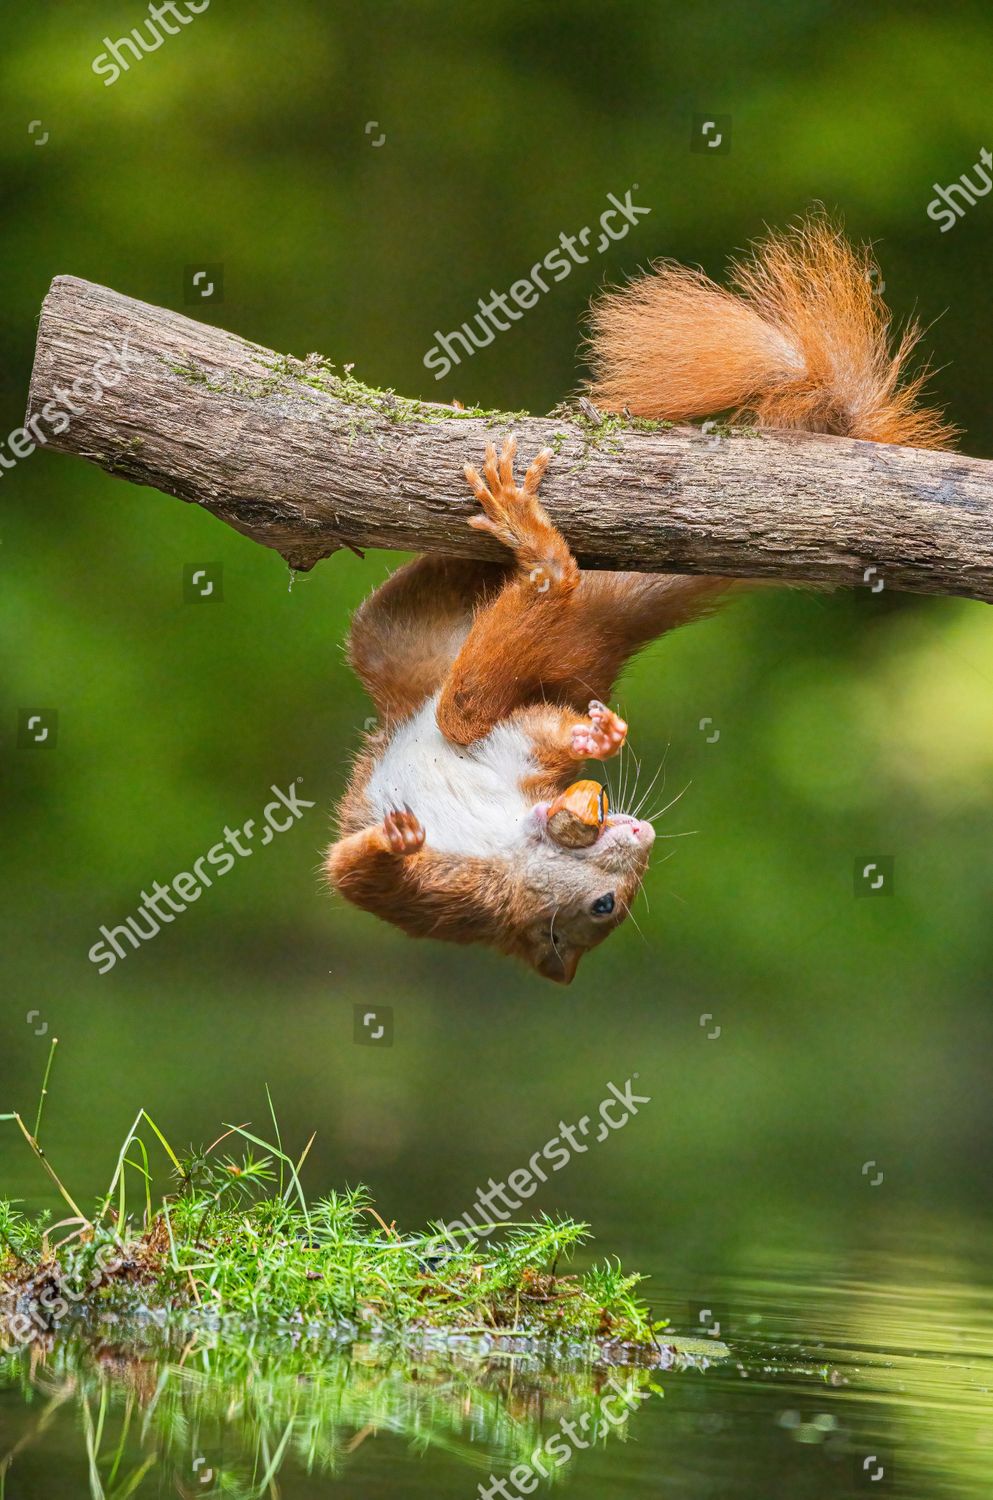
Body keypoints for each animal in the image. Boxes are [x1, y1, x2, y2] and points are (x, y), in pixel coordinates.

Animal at [324, 214, 954, 983]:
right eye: (604, 907)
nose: (641, 833)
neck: (510, 839)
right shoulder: (445, 894)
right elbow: (355, 875)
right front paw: (394, 842)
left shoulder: (526, 766)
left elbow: (532, 734)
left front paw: (594, 739)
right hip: (400, 644)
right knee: (457, 680)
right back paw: (515, 506)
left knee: (472, 692)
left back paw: (536, 547)